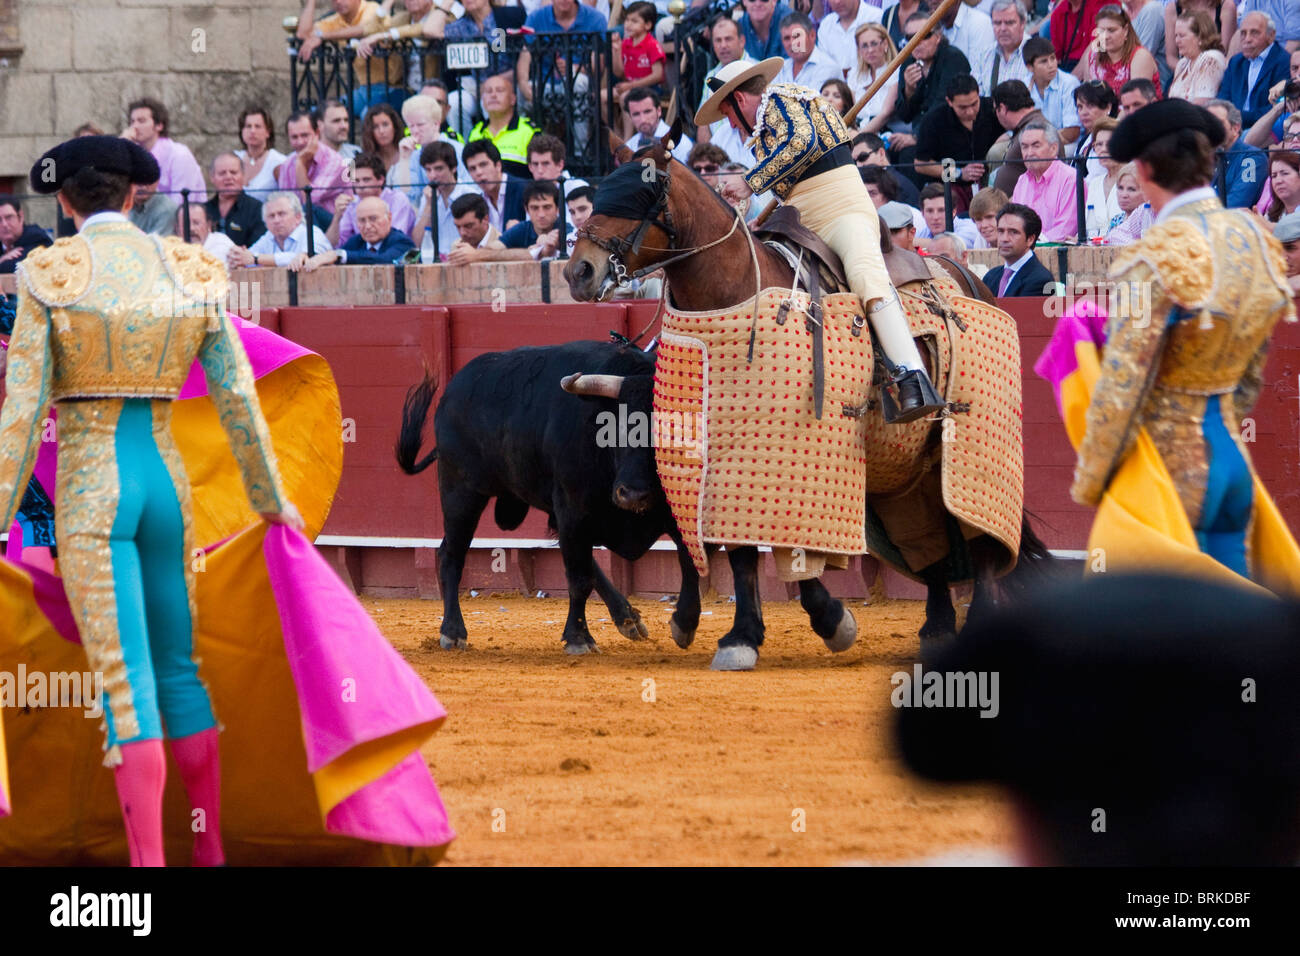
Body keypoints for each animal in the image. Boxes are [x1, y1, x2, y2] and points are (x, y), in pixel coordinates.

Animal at [395, 340, 702, 655]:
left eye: (675, 433)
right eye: (611, 429)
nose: (633, 494)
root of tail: (452, 391)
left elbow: (691, 560)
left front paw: (684, 623)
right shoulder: (572, 510)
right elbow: (578, 579)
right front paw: (578, 638)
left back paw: (628, 618)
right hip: (460, 492)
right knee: (451, 554)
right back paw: (453, 632)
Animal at [563, 124, 1049, 670]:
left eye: (639, 194)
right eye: (598, 192)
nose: (578, 272)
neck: (734, 287)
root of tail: (970, 280)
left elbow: (791, 548)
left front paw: (831, 620)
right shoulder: (731, 458)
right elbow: (742, 551)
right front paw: (742, 636)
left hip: (972, 450)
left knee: (979, 534)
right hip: (907, 470)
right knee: (932, 537)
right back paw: (939, 627)